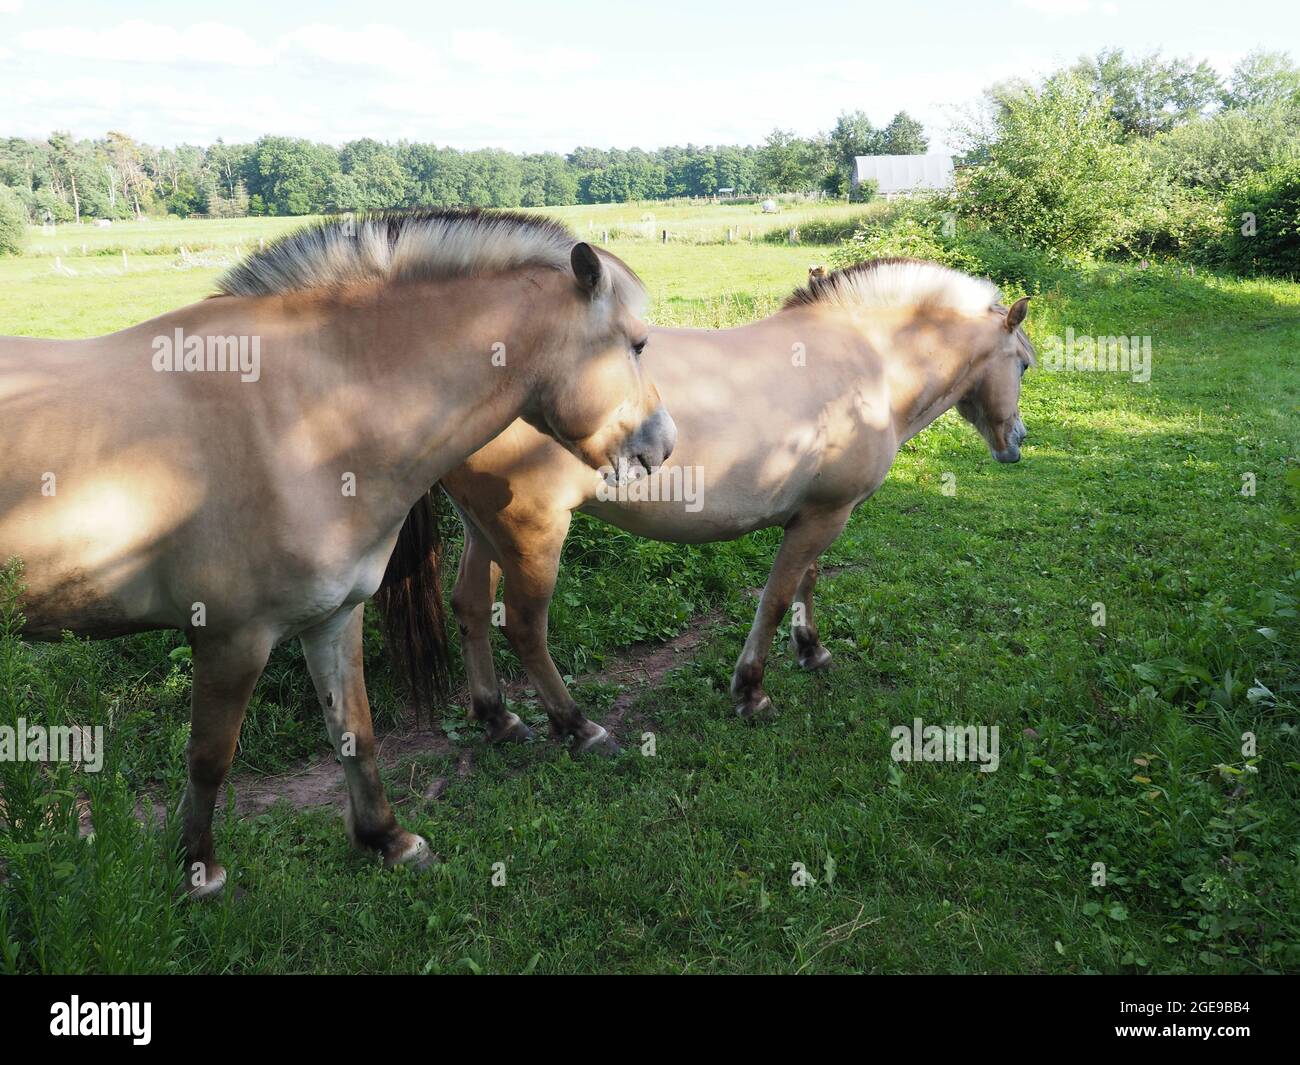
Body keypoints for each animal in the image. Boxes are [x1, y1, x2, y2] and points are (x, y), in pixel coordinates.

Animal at [0, 209, 676, 896]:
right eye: (637, 344)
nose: (665, 446)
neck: (304, 417)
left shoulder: (333, 616)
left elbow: (355, 730)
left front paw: (388, 839)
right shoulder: (230, 639)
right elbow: (209, 758)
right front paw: (200, 869)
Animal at [396, 258, 1033, 753]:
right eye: (1023, 364)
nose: (1017, 442)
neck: (866, 362)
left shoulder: (817, 514)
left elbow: (806, 582)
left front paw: (812, 651)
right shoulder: (826, 515)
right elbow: (775, 599)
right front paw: (751, 690)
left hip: (484, 529)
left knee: (471, 607)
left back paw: (497, 718)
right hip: (531, 532)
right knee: (526, 627)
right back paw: (578, 727)